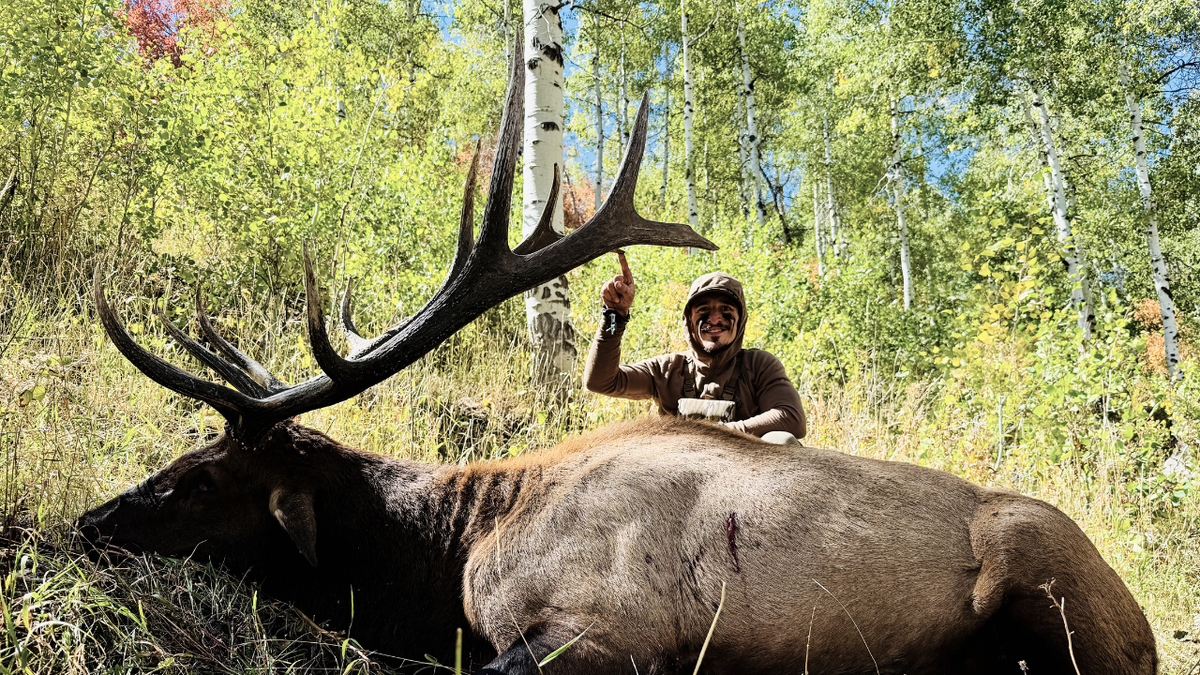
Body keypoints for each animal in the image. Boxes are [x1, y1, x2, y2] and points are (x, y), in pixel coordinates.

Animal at [79, 47, 1158, 675]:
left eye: (201, 475)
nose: (92, 521)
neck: (450, 554)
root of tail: (1146, 623)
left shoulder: (607, 629)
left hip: (1050, 583)